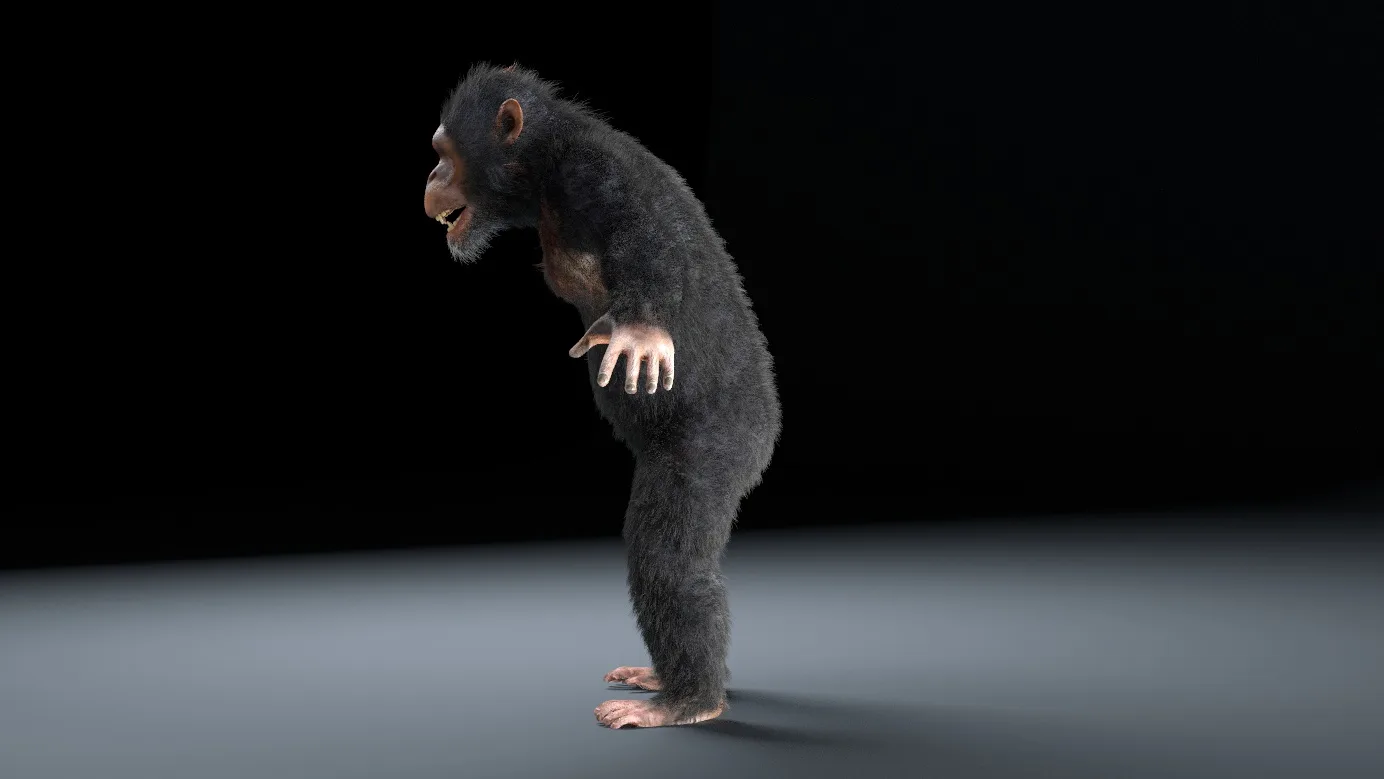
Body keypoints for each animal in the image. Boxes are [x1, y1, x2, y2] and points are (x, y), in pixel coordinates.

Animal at [423, 63, 781, 729]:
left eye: (444, 153)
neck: (542, 170)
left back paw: (688, 699)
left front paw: (638, 330)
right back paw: (664, 680)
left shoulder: (596, 172)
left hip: (721, 447)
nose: (431, 174)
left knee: (668, 559)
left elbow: (653, 237)